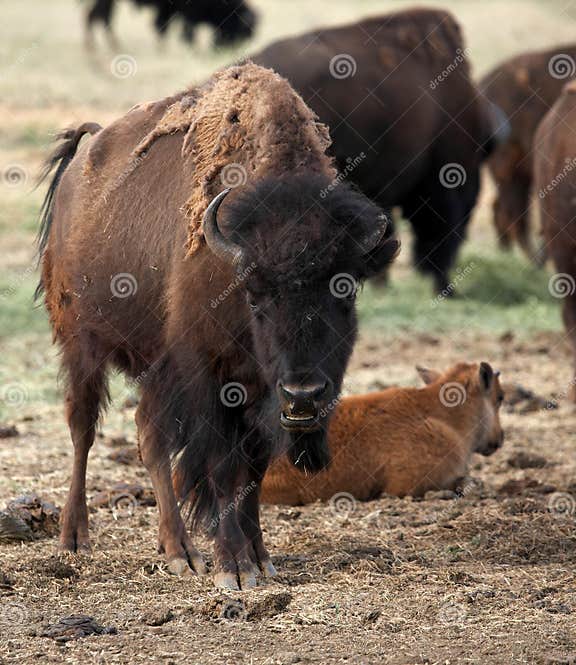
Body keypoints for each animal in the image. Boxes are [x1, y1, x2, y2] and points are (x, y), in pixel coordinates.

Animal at [37, 64, 399, 589]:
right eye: (255, 295)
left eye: (345, 290)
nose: (305, 394)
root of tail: (81, 164)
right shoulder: (210, 377)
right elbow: (224, 468)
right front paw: (235, 568)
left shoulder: (259, 393)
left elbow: (254, 472)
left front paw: (261, 558)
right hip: (81, 344)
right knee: (83, 431)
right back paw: (74, 538)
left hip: (155, 366)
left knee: (148, 436)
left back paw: (178, 551)